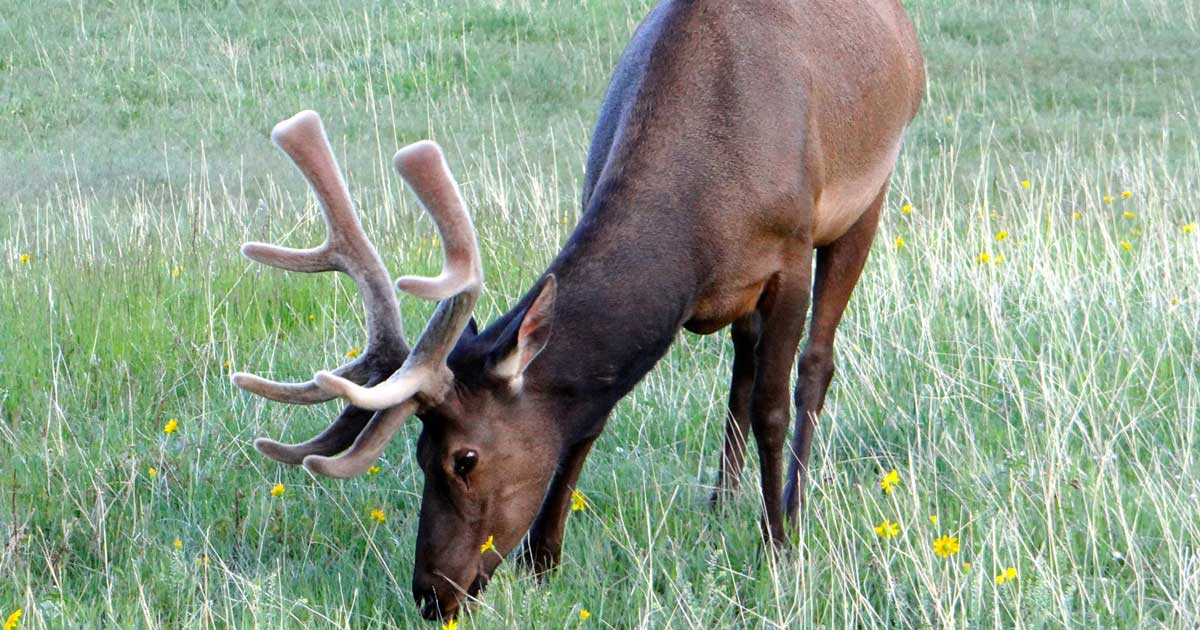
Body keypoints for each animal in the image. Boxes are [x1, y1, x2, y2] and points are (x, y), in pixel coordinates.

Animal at [231, 0, 923, 620]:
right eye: (420, 454)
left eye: (464, 458)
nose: (431, 593)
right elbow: (589, 418)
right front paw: (543, 560)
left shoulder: (789, 253)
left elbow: (772, 410)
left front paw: (774, 549)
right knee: (743, 361)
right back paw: (720, 501)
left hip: (869, 194)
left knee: (815, 366)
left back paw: (792, 509)